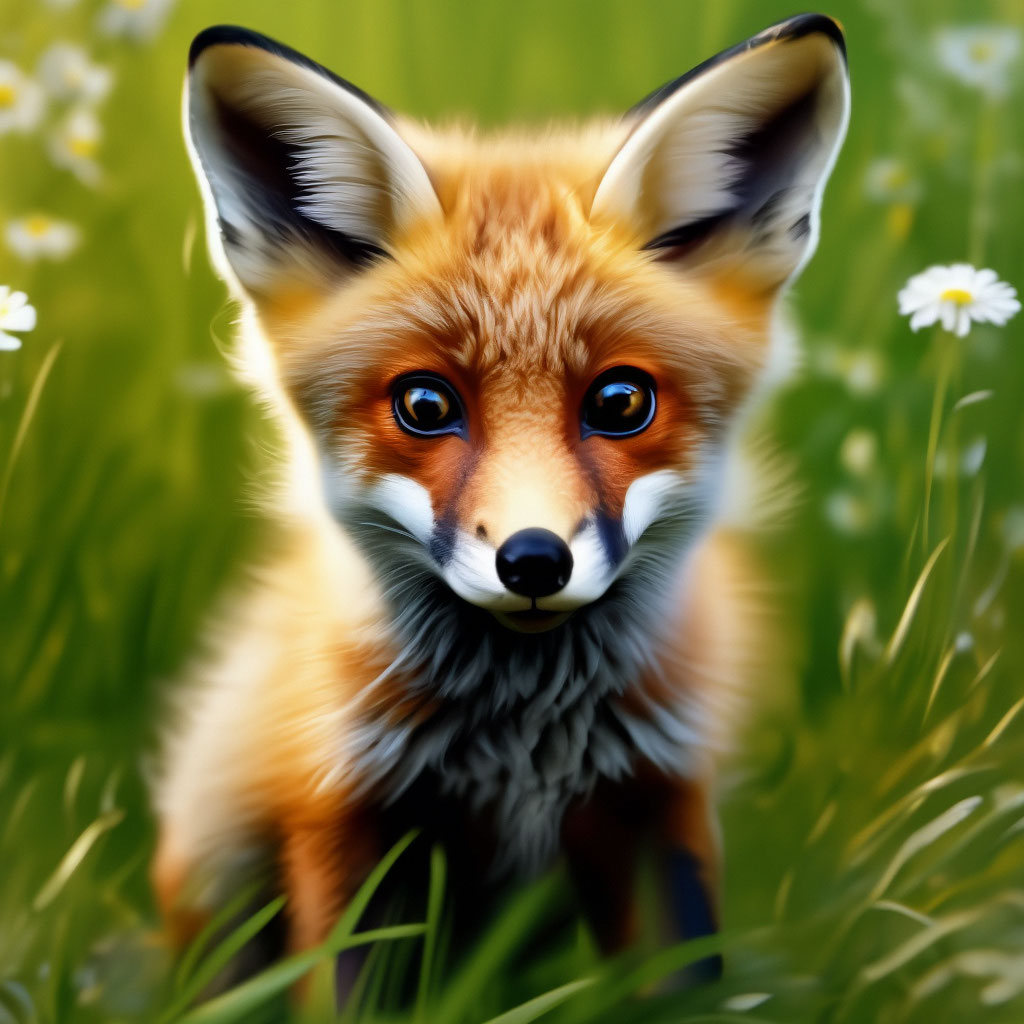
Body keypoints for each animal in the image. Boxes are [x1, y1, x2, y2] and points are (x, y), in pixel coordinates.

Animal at [153, 12, 850, 996]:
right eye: (425, 404)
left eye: (621, 401)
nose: (532, 561)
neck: (524, 737)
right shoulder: (345, 817)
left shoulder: (659, 795)